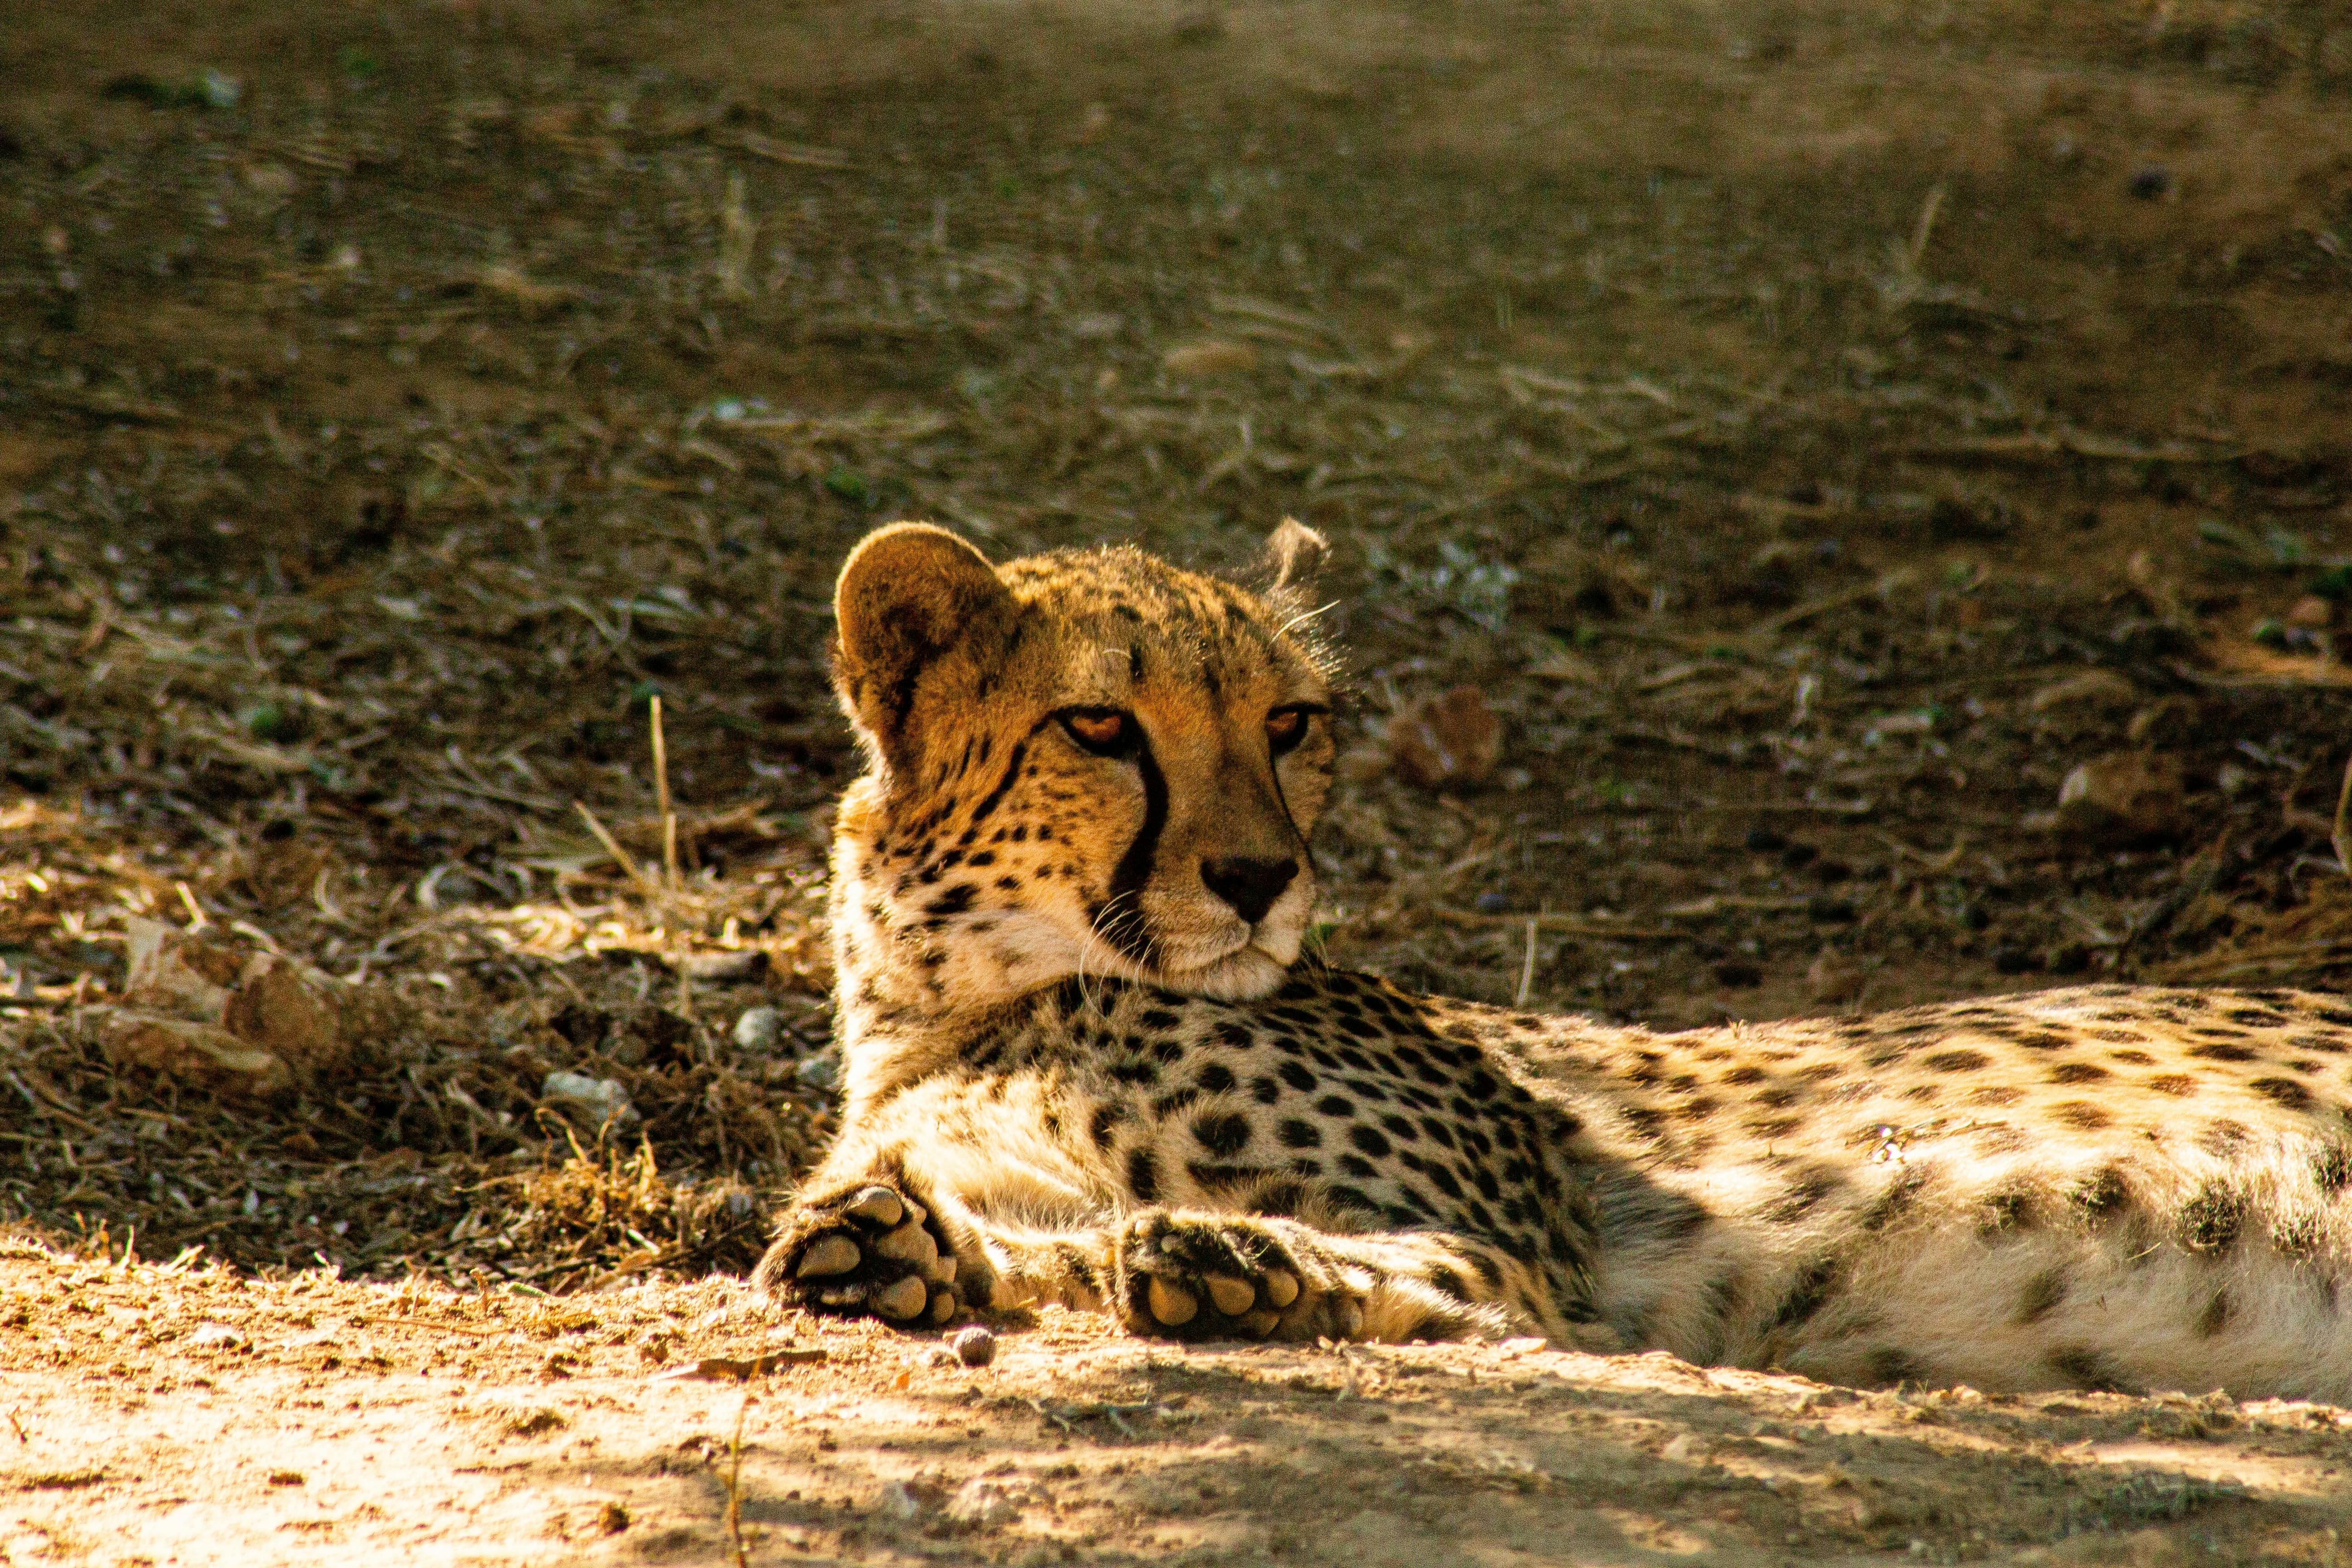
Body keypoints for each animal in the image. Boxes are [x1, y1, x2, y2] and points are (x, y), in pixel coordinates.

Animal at [752, 517, 2352, 1401]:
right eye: (1098, 726)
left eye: (1290, 721)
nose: (1264, 879)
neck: (957, 1003)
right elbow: (979, 1238)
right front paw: (901, 1250)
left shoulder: (1546, 1261)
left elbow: (1443, 1271)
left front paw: (1238, 1262)